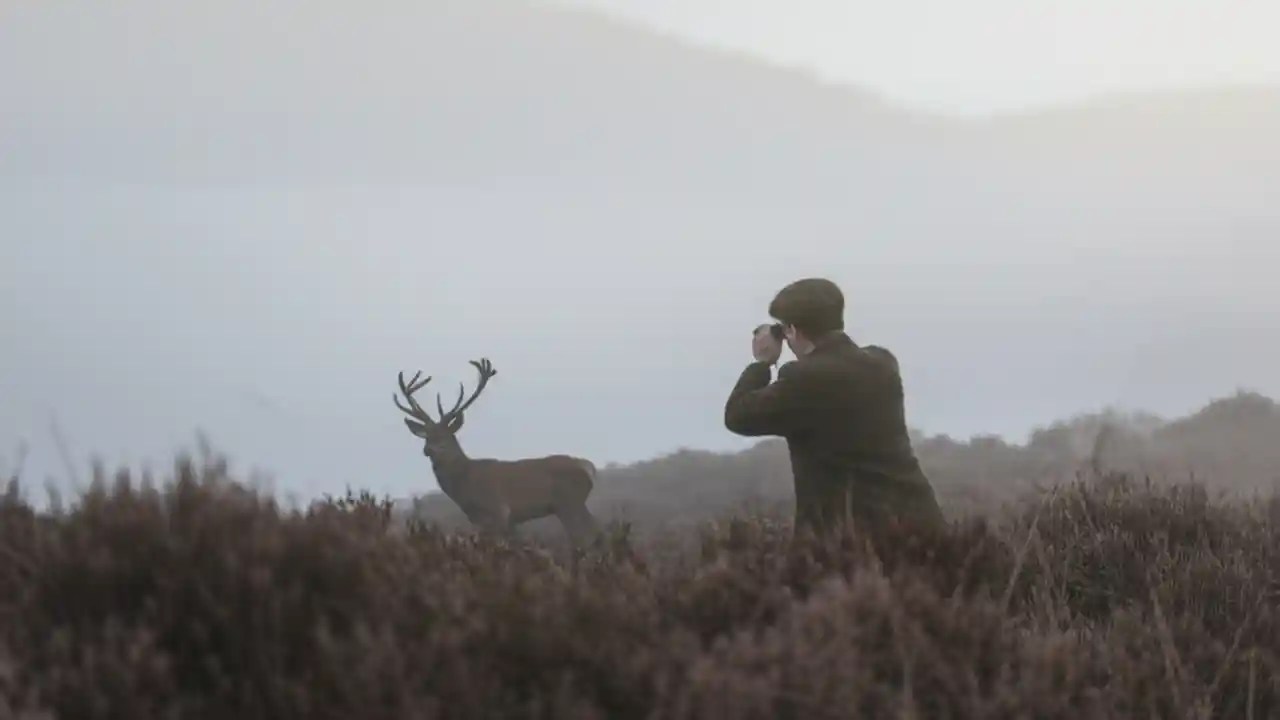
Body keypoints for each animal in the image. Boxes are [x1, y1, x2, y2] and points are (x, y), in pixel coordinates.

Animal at [393, 357, 602, 548]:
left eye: (445, 437)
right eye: (426, 436)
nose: (428, 450)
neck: (465, 483)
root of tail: (588, 467)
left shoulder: (497, 510)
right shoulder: (493, 520)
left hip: (569, 503)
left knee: (587, 536)